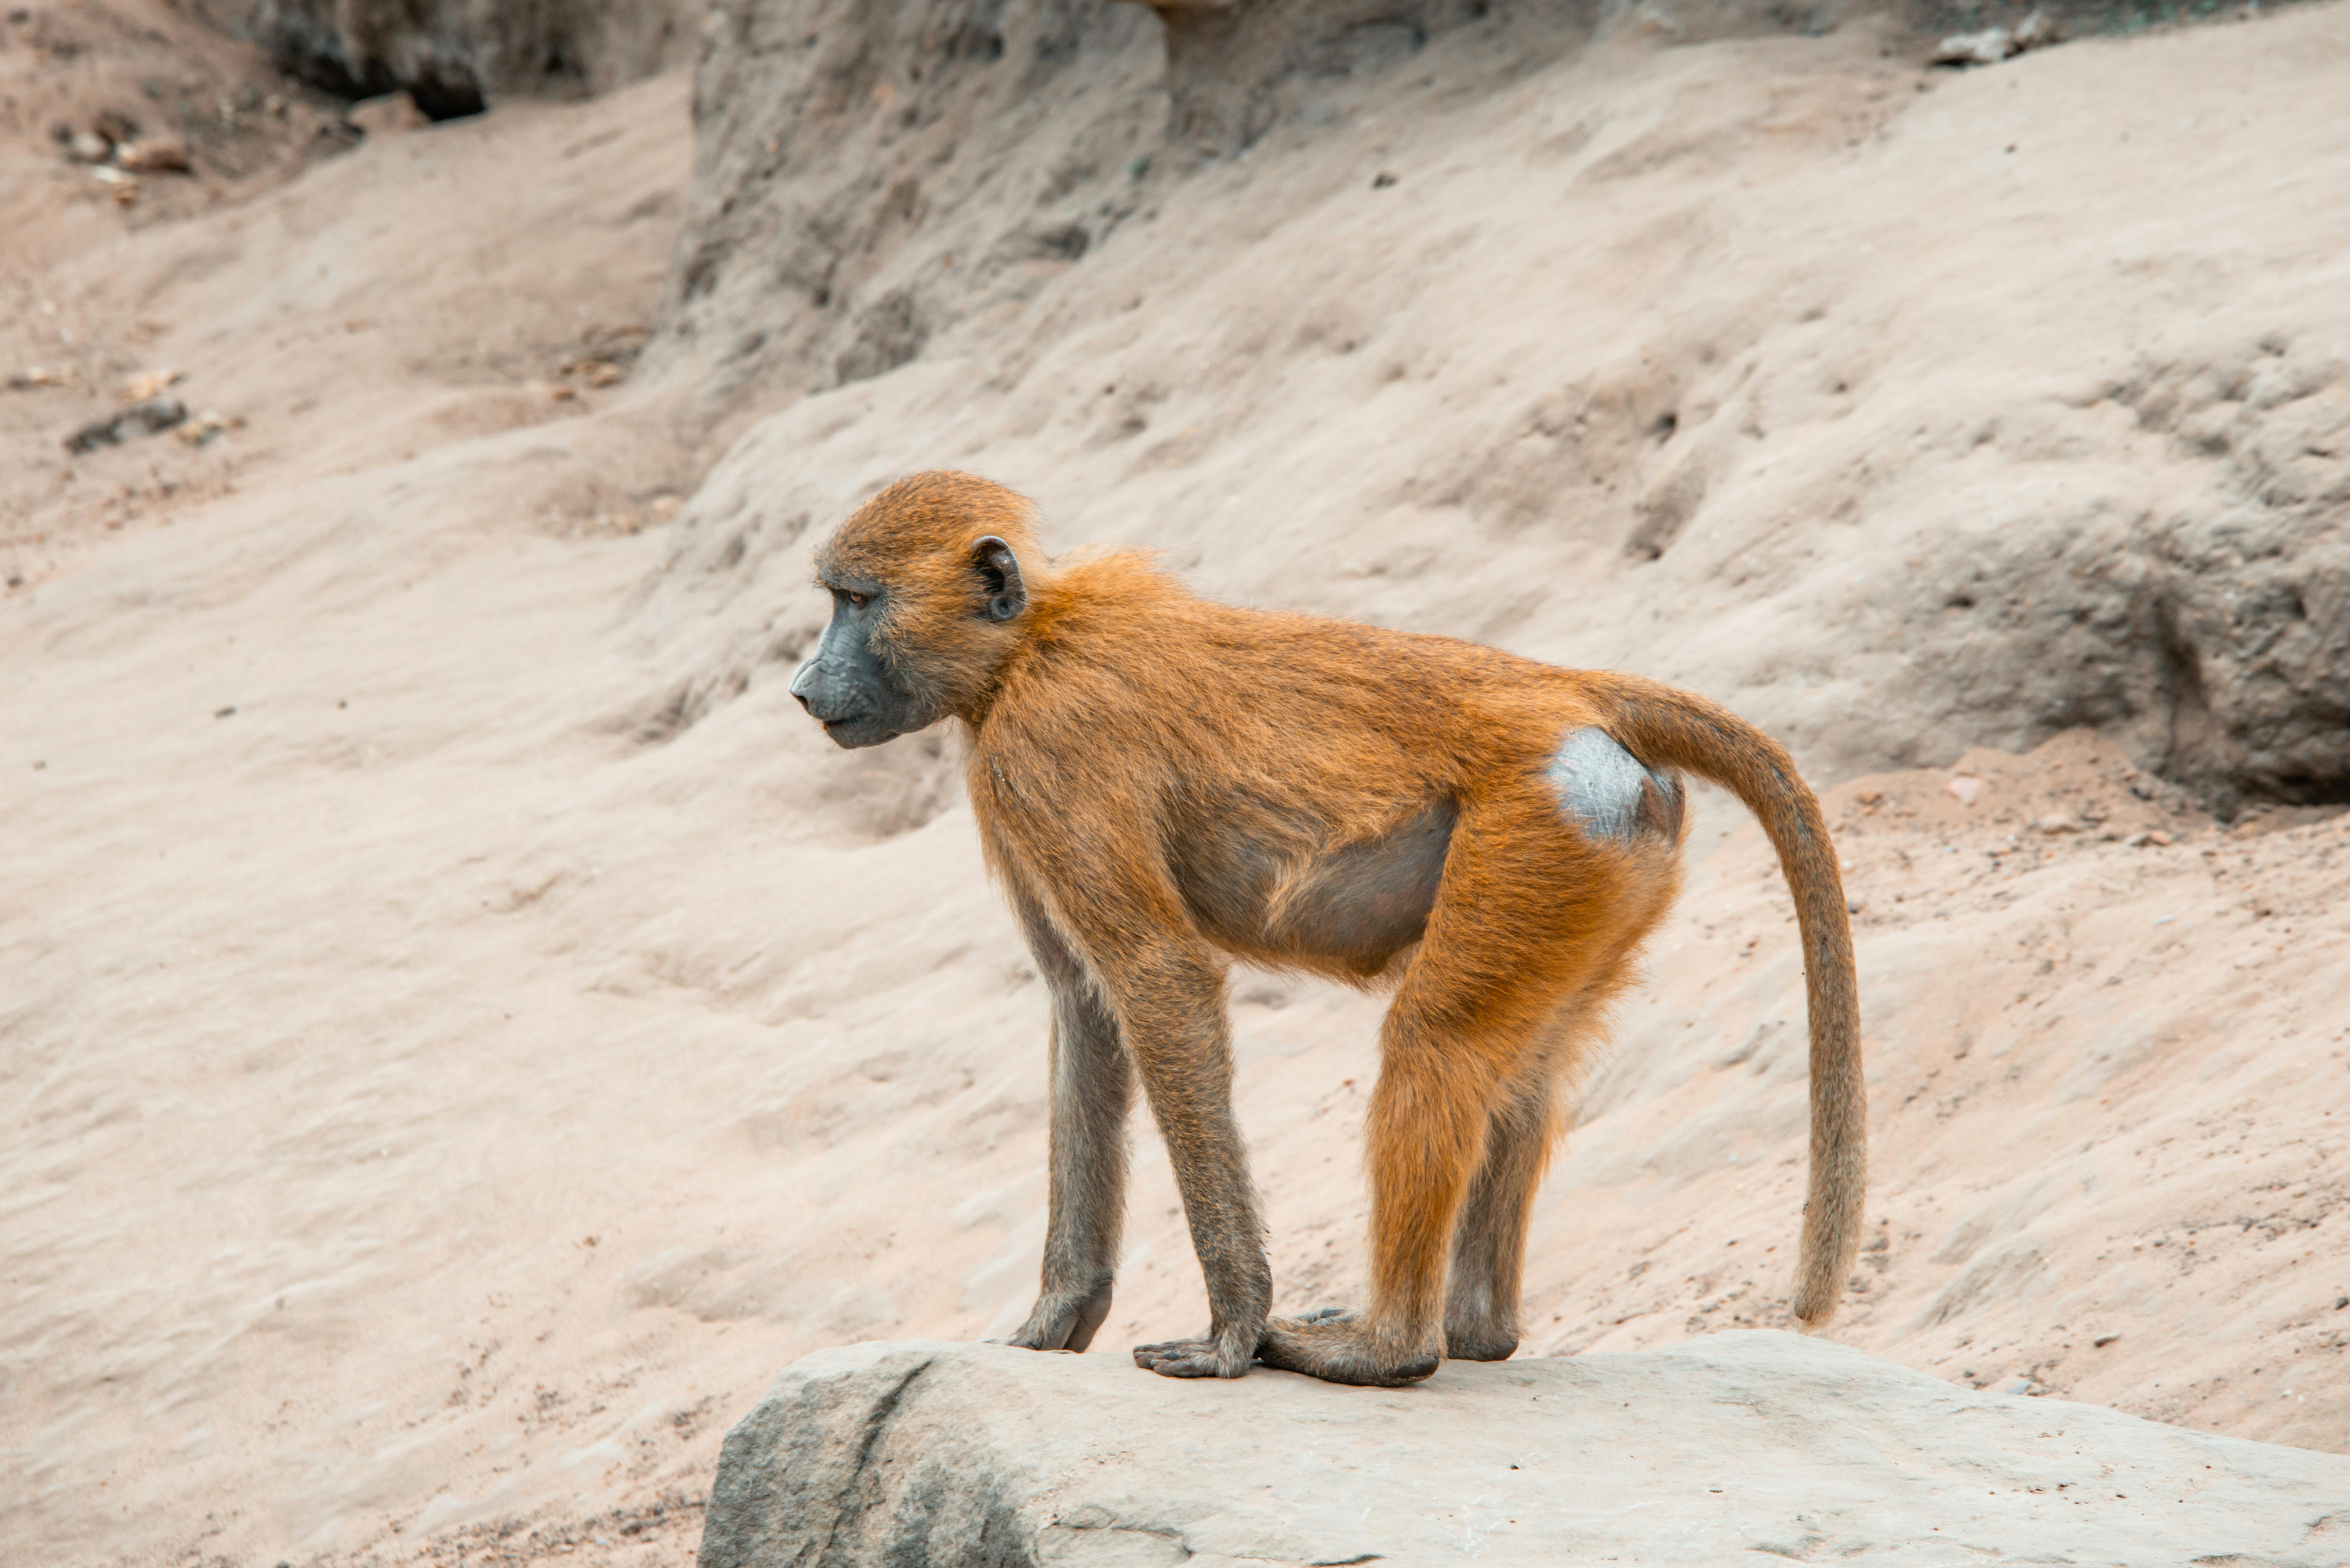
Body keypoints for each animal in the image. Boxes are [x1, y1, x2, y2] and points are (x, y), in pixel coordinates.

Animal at [787, 470, 1865, 1388]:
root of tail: (1567, 691)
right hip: (1604, 863)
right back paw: (1474, 1330)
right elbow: (1082, 1005)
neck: (1028, 642)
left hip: (1542, 835)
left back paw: (1384, 1348)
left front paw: (1229, 1328)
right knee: (1517, 1069)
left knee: (1436, 1044)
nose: (802, 686)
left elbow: (1155, 977)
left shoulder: (1044, 749)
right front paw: (1054, 1322)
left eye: (858, 600)